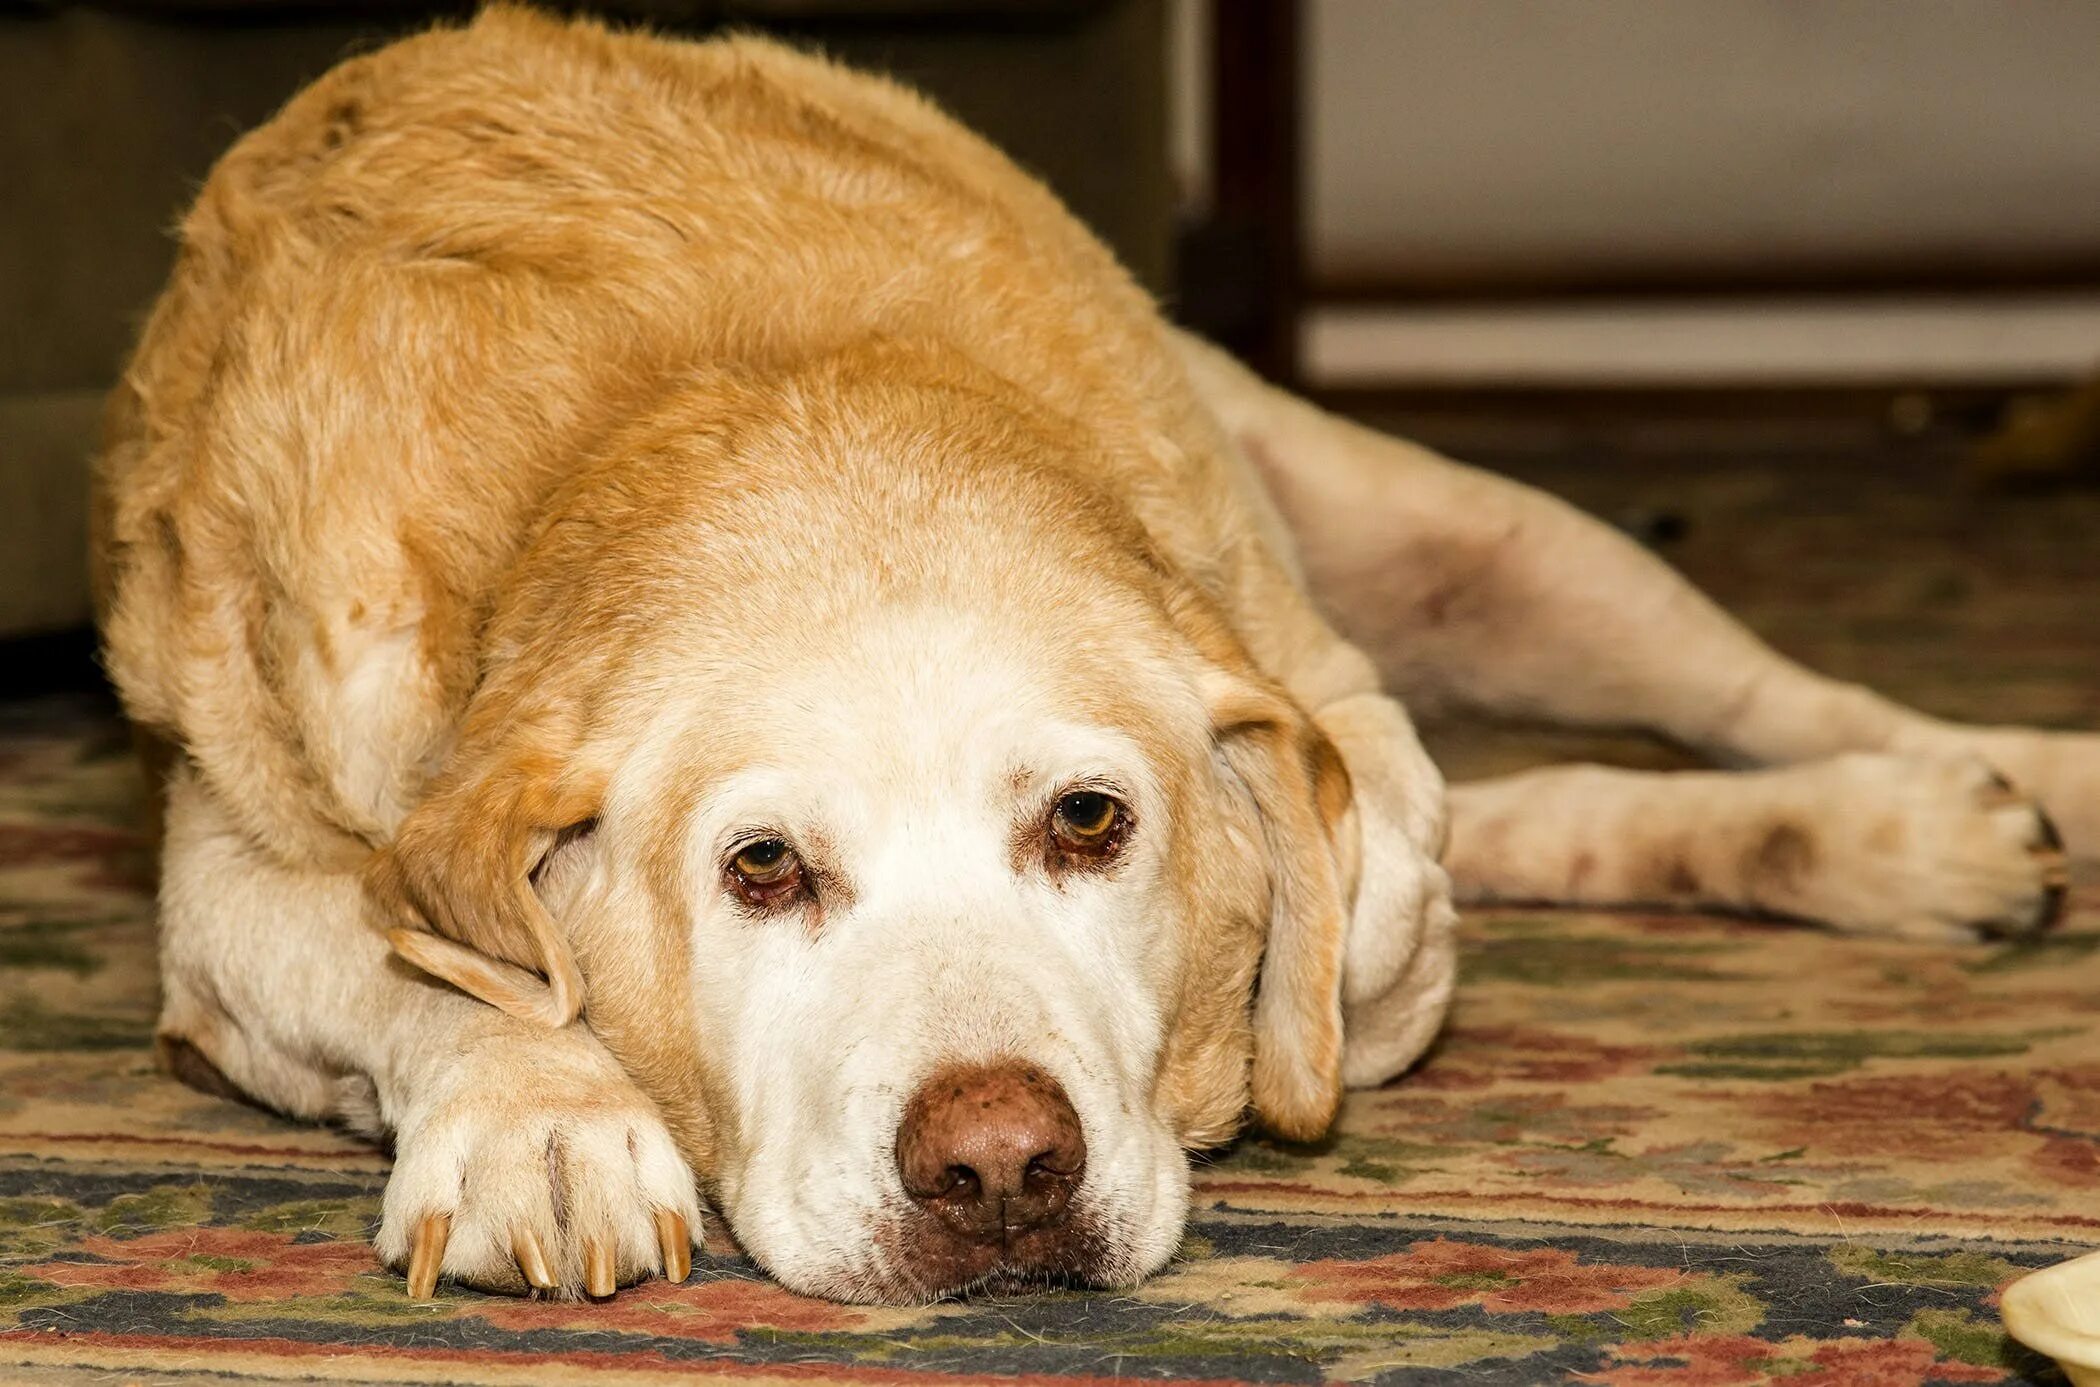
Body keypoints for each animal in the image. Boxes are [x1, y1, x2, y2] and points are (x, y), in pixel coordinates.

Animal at [90, 10, 2091, 1302]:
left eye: (1087, 820)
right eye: (762, 865)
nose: (997, 1164)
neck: (721, 402)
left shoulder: (1303, 690)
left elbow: (1380, 868)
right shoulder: (230, 886)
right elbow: (418, 961)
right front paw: (540, 1117)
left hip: (1485, 545)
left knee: (1762, 703)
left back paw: (1960, 799)